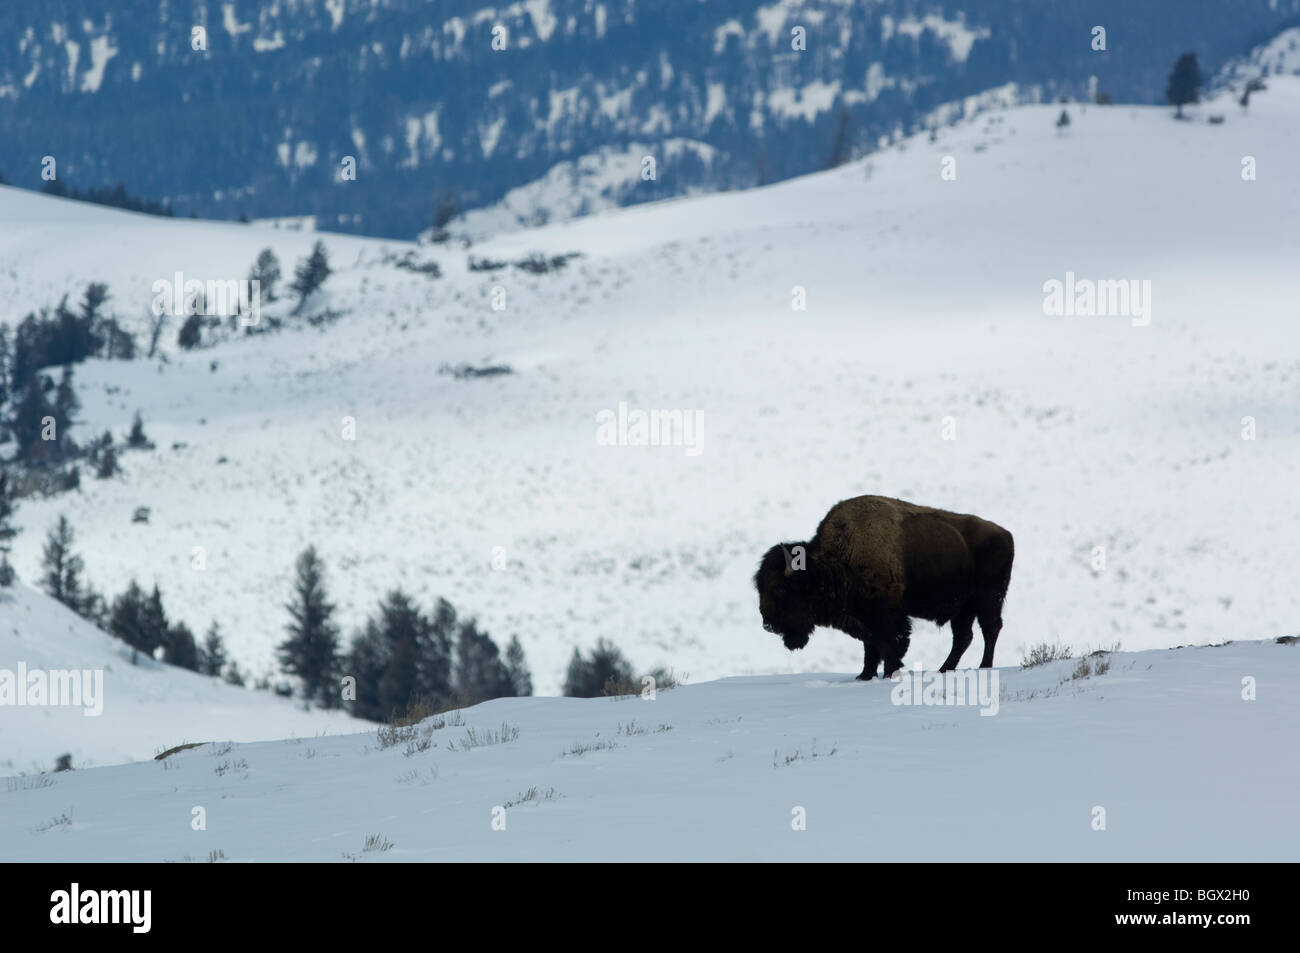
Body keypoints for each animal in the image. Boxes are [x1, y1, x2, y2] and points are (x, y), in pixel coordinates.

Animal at [755, 495, 1014, 679]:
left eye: (779, 589)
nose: (768, 625)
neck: (838, 560)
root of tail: (1005, 533)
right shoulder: (863, 617)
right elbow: (870, 647)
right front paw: (864, 676)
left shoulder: (887, 615)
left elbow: (890, 643)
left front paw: (890, 673)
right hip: (963, 608)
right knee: (964, 637)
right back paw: (943, 670)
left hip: (988, 599)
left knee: (990, 630)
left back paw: (984, 667)